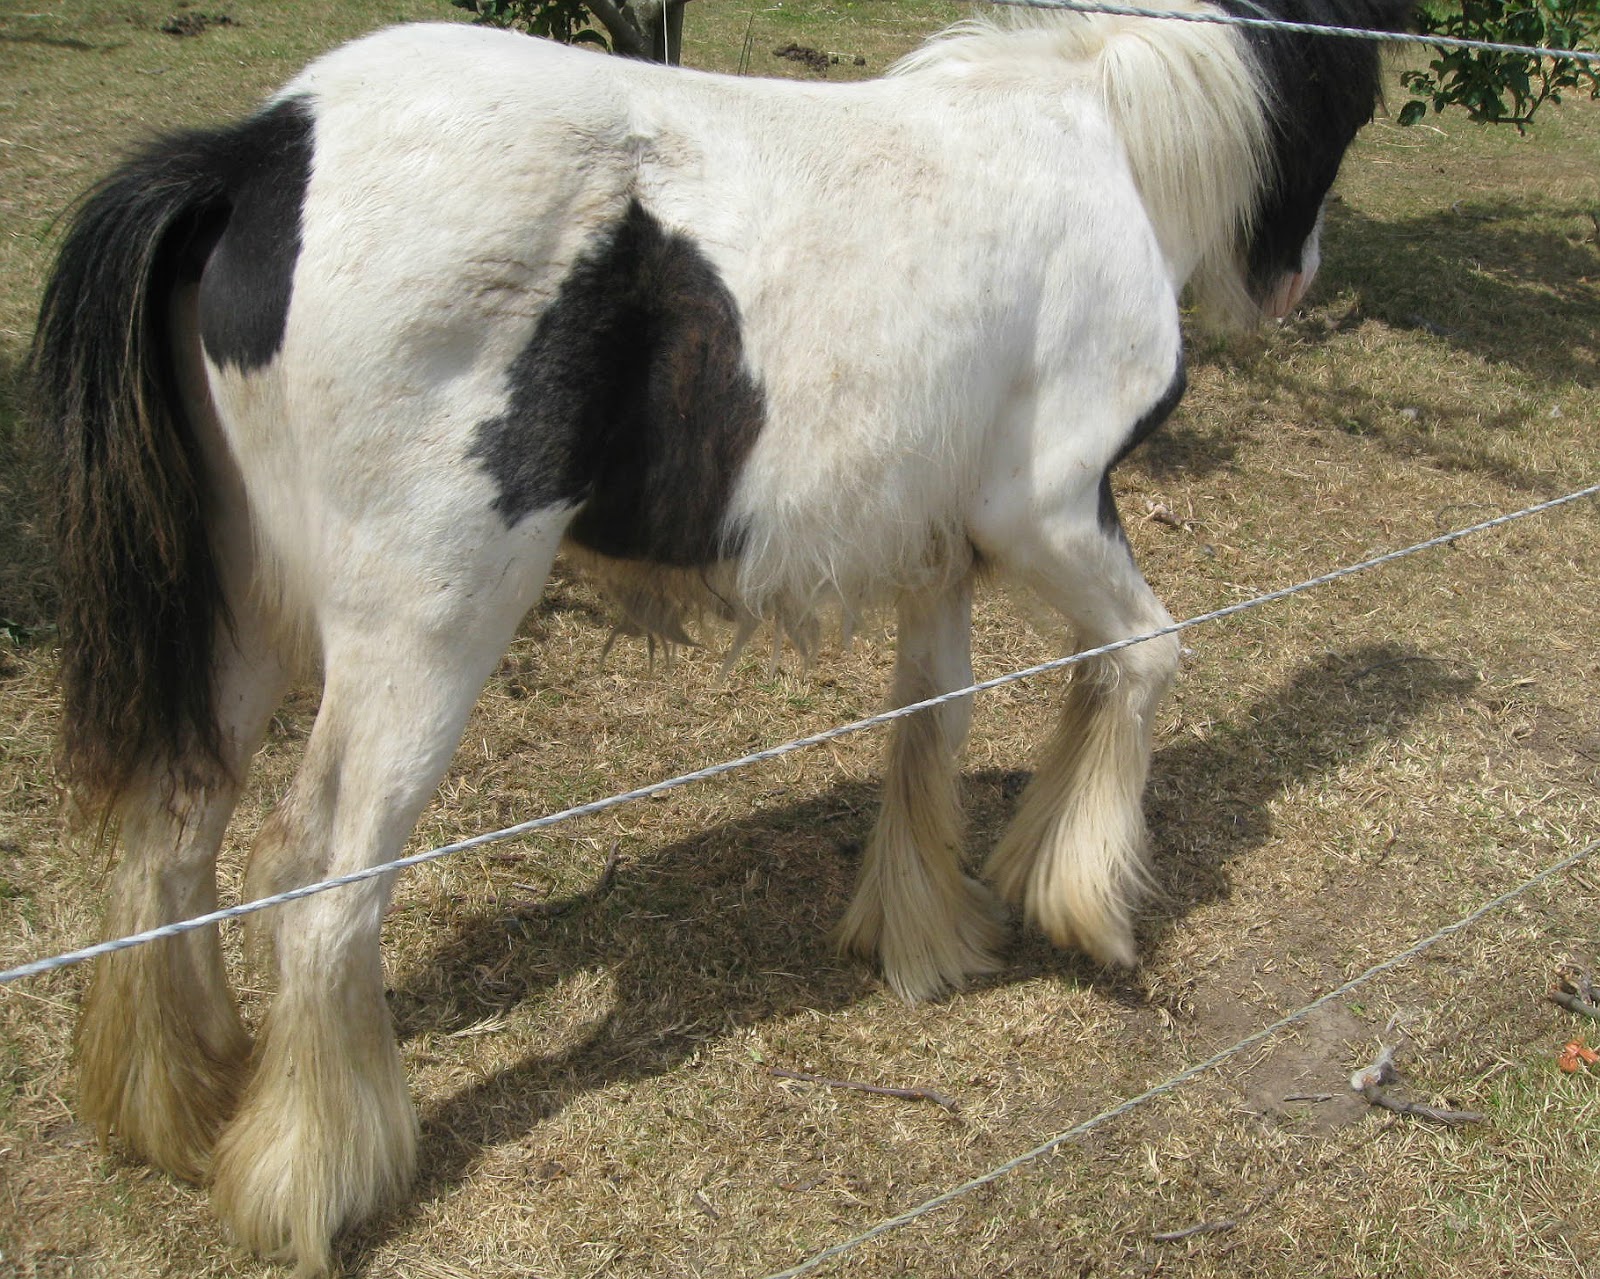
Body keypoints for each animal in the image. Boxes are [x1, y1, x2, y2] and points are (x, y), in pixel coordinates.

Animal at [30, 0, 1411, 1270]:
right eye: (1356, 88)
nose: (1296, 279)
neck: (1090, 134)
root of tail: (265, 151)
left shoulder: (940, 551)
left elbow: (933, 720)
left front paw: (922, 935)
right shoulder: (1050, 514)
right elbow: (1145, 655)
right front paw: (1082, 900)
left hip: (252, 616)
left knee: (173, 835)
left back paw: (181, 1107)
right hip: (417, 637)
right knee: (323, 883)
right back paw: (318, 1182)